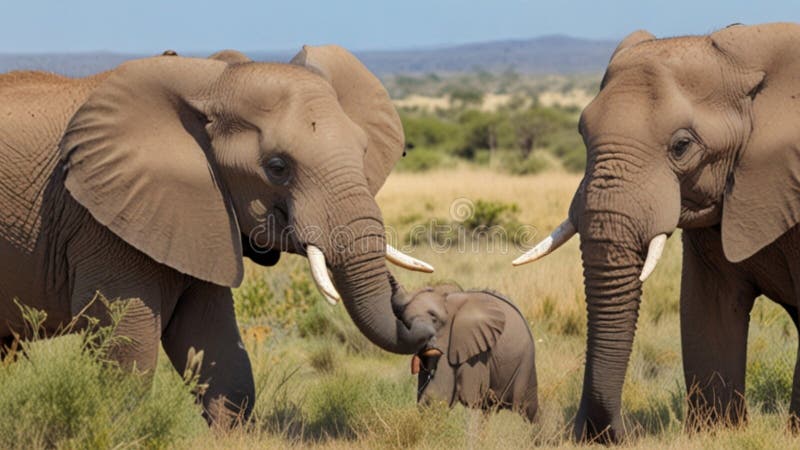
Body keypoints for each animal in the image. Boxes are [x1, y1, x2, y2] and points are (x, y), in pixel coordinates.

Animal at [0, 45, 436, 424]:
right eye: (277, 167)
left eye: (362, 152)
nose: (428, 326)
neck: (213, 83)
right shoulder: (97, 222)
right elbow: (126, 353)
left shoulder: (197, 216)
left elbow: (217, 349)